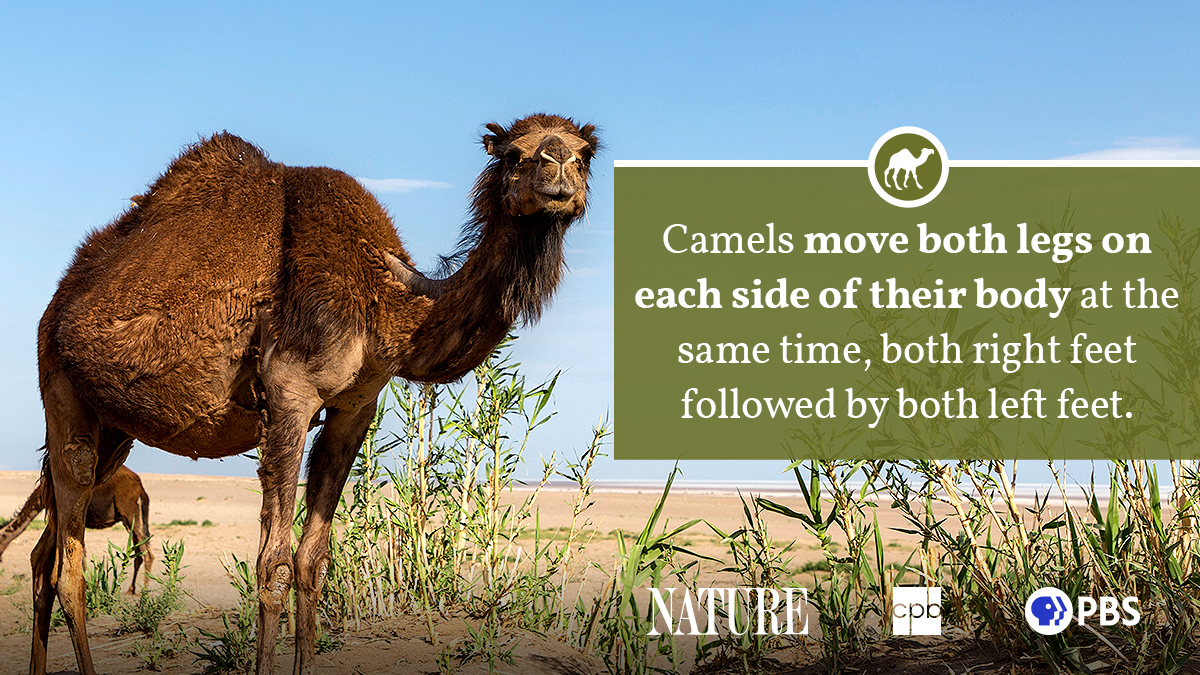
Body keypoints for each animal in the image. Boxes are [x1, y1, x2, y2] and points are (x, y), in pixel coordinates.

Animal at [0, 466, 152, 595]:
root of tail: (141, 488)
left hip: (129, 513)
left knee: (146, 552)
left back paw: (144, 592)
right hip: (131, 519)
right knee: (139, 551)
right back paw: (131, 590)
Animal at [30, 113, 598, 675]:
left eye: (586, 153)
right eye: (512, 154)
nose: (558, 166)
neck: (384, 303)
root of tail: (61, 298)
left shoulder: (354, 410)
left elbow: (313, 559)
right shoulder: (288, 393)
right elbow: (273, 565)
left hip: (114, 428)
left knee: (43, 557)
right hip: (59, 387)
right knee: (67, 563)